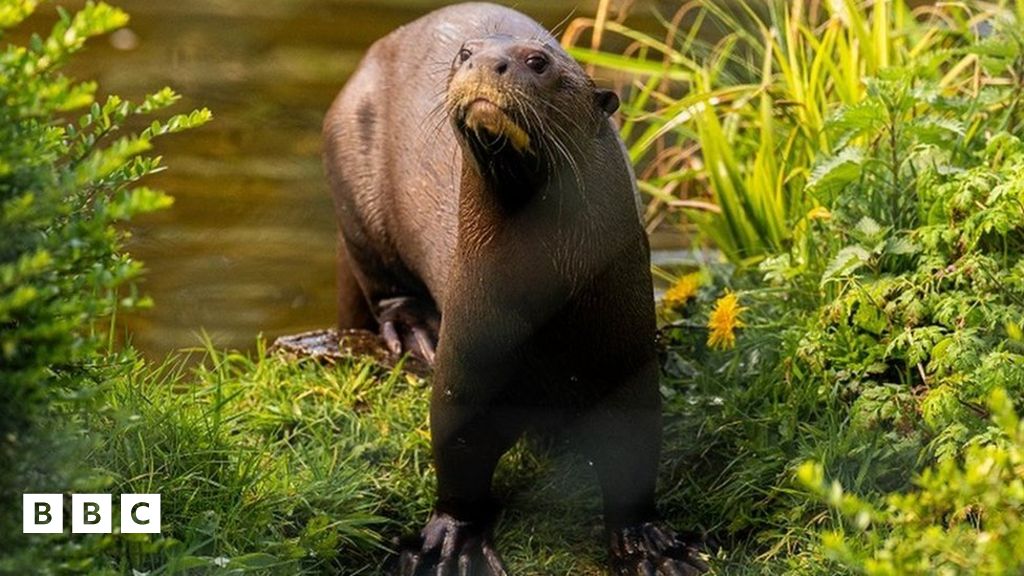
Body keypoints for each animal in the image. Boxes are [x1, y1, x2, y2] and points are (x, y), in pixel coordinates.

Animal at [323, 3, 707, 574]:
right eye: (465, 53)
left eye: (537, 61)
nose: (483, 62)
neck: (540, 301)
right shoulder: (469, 355)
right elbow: (458, 453)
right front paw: (452, 543)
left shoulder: (625, 357)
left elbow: (632, 457)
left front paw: (649, 546)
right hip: (353, 178)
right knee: (382, 284)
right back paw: (416, 332)